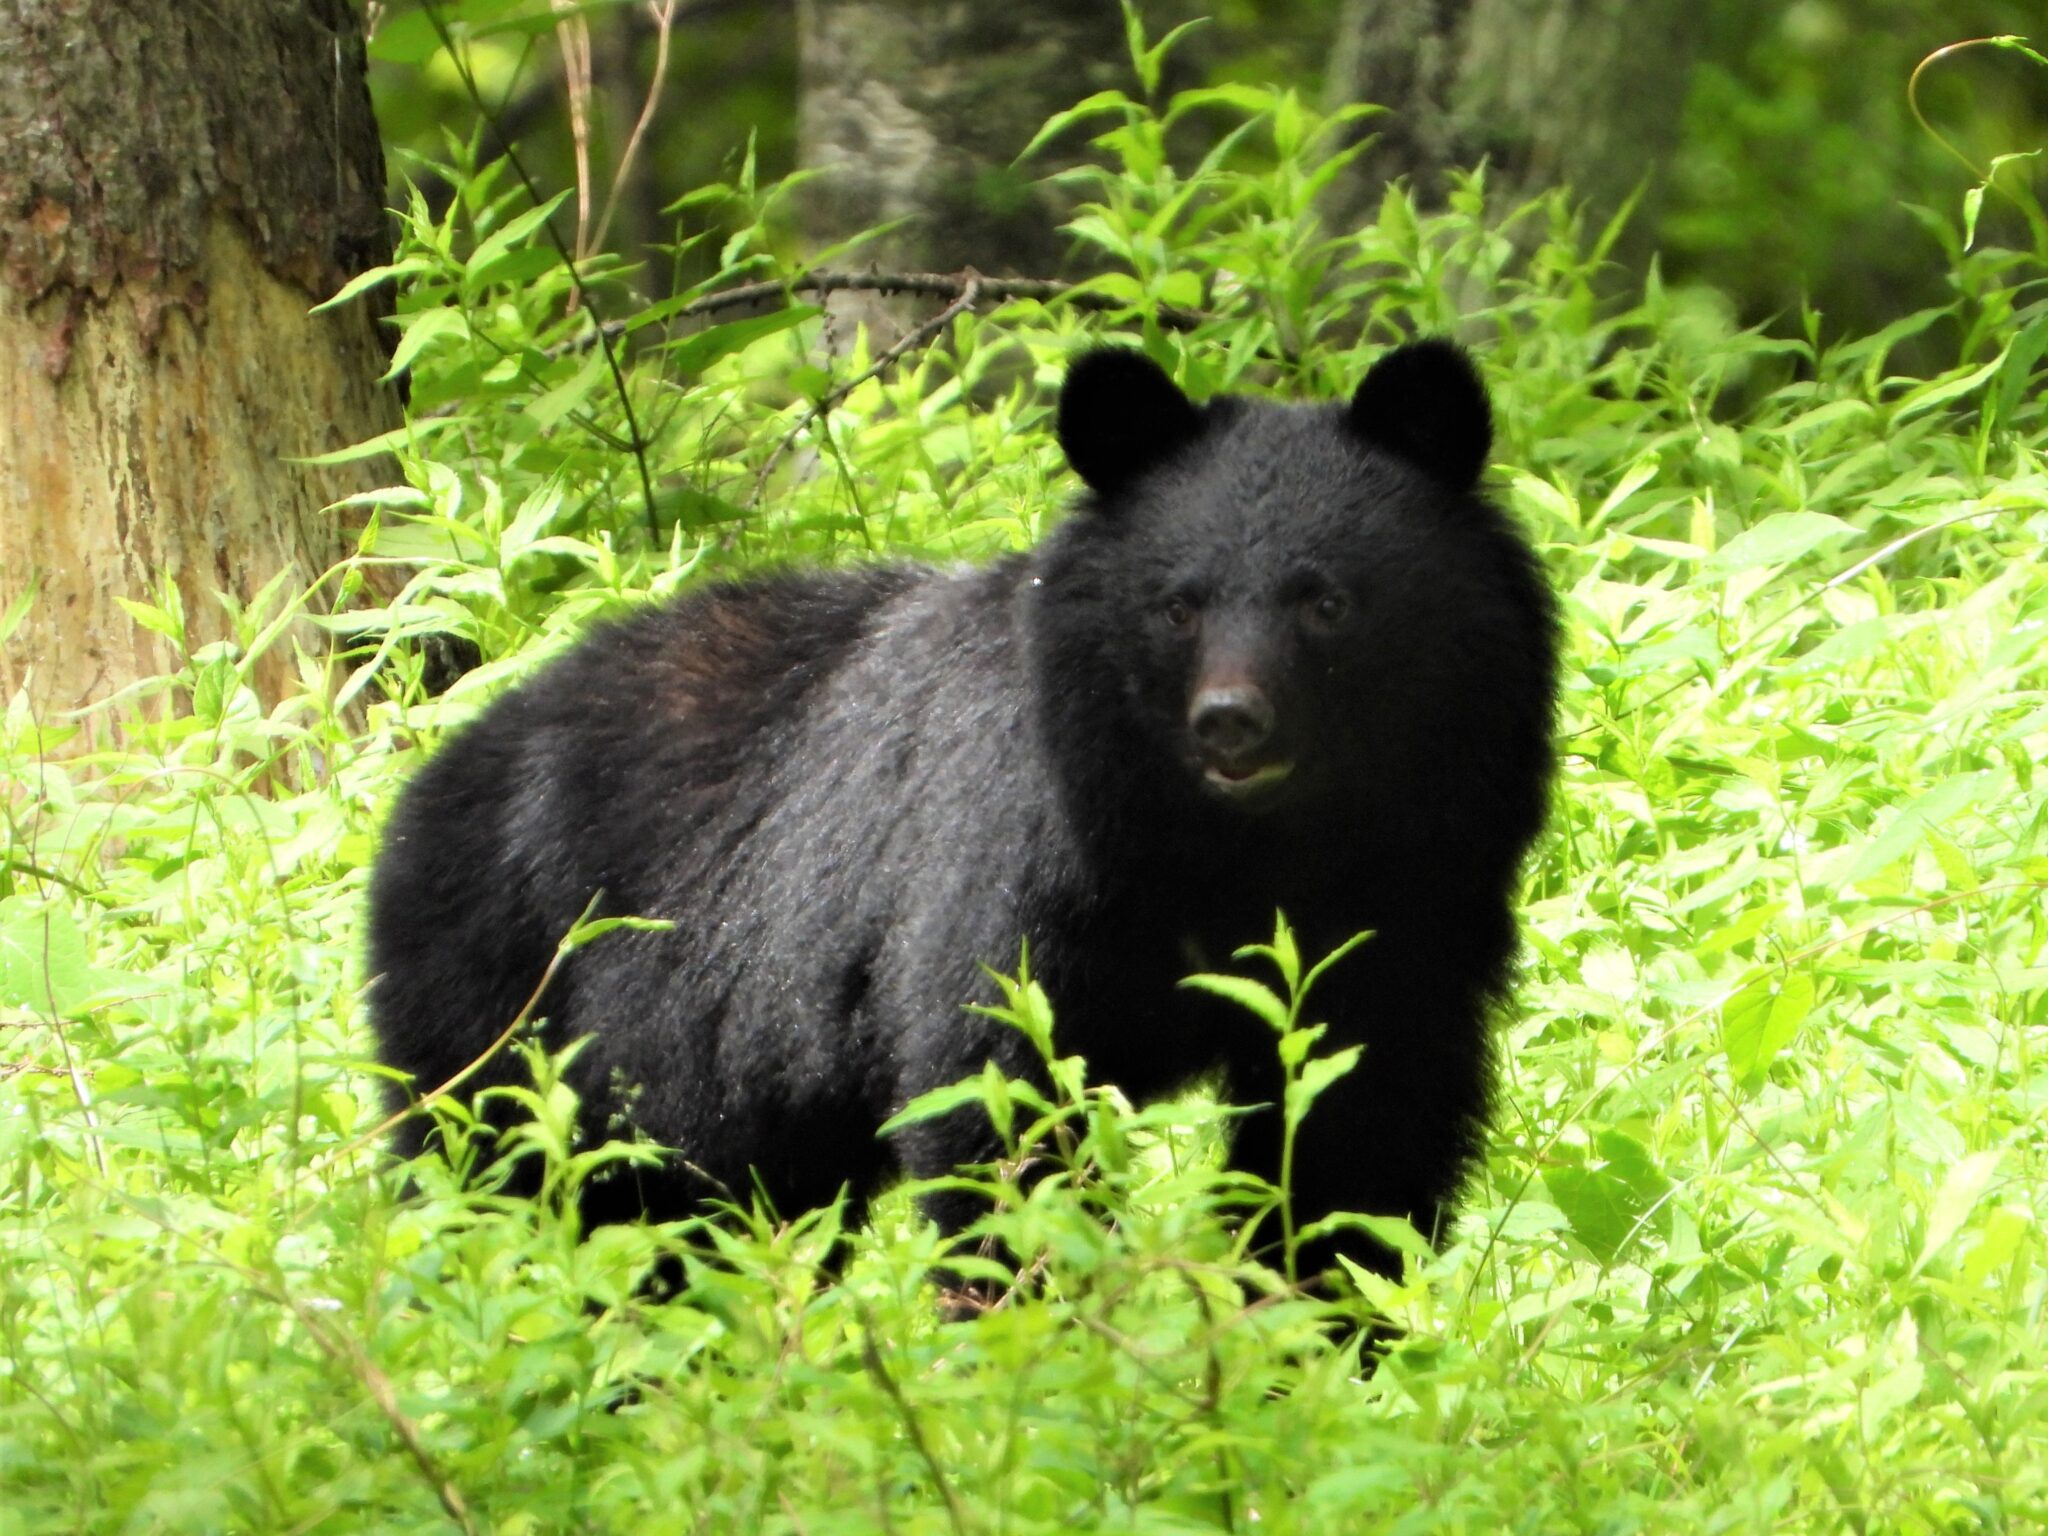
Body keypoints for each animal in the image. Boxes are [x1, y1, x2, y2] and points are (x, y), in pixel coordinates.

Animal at [365, 339, 1559, 1288]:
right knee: (515, 1192)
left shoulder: (1416, 886)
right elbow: (1000, 1100)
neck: (1233, 848)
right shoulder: (1021, 860)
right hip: (515, 1008)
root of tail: (428, 785)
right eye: (1176, 605)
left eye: (1326, 601)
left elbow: (1361, 1129)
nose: (1232, 723)